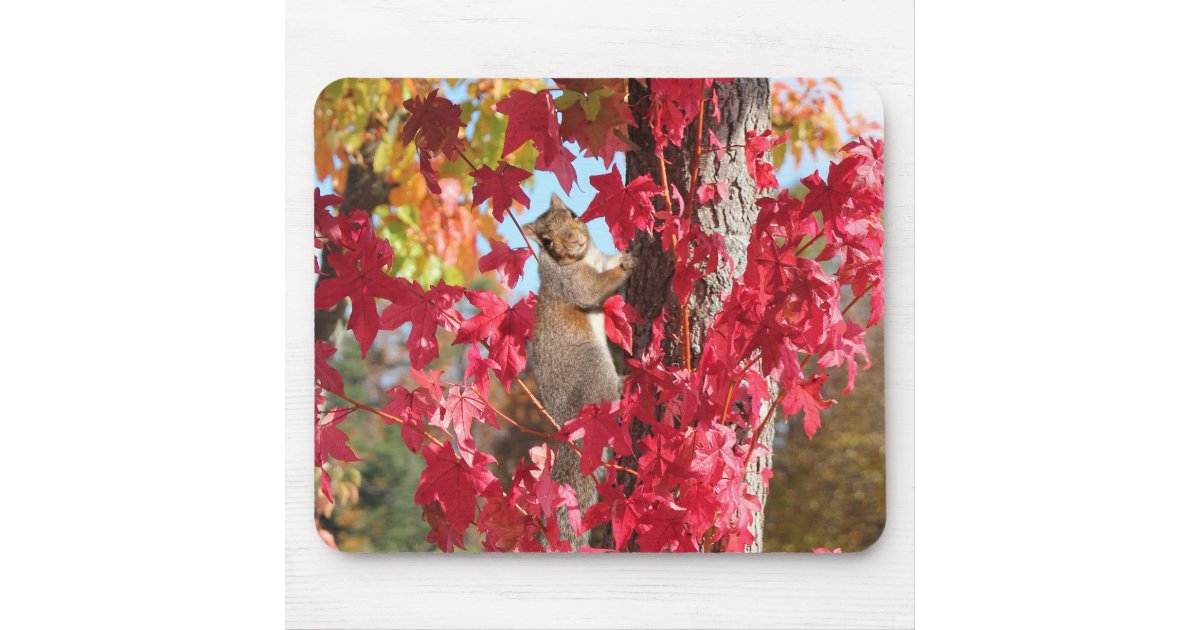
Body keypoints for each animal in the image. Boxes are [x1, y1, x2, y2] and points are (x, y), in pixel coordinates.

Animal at [522, 194, 634, 550]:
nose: (572, 238)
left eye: (572, 213)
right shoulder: (571, 284)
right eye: (546, 241)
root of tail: (569, 422)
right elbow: (594, 289)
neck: (587, 259)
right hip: (591, 364)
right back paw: (623, 384)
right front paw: (627, 264)